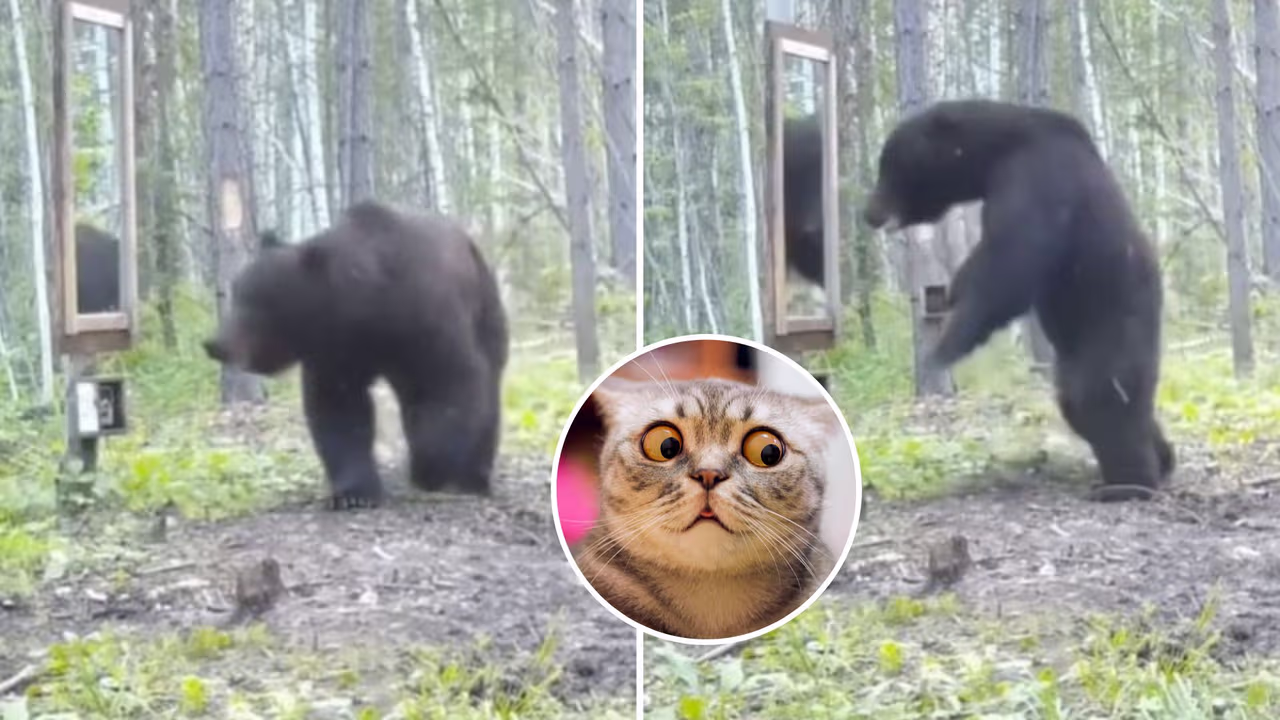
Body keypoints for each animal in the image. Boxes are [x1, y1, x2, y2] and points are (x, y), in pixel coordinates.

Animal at [202, 200, 509, 509]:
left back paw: (473, 476)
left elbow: (451, 383)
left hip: (485, 309)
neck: (367, 306)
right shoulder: (337, 351)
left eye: (256, 301)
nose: (215, 344)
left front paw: (434, 468)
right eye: (235, 293)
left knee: (486, 388)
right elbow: (339, 408)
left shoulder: (425, 319)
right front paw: (353, 493)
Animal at [861, 99, 1173, 501]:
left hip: (1113, 325)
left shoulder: (1036, 178)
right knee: (1088, 403)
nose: (869, 213)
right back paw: (1162, 459)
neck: (996, 151)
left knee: (1100, 395)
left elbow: (1010, 264)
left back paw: (1128, 484)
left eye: (889, 165)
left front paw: (944, 346)